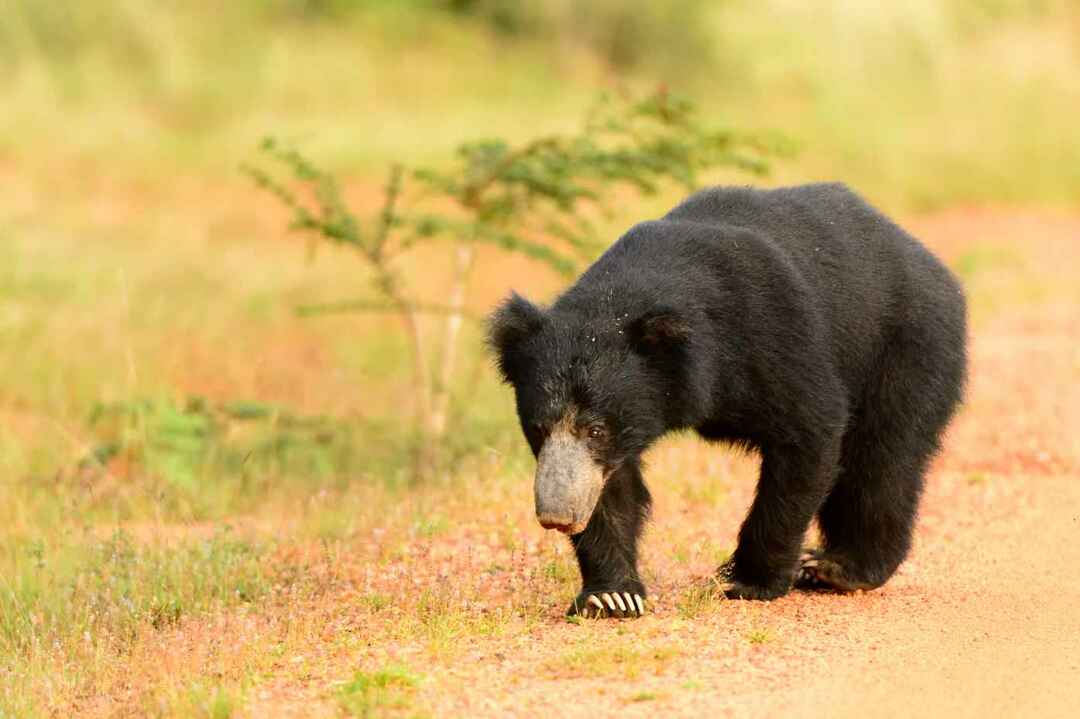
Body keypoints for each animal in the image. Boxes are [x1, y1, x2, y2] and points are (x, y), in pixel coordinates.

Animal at [486, 182, 967, 613]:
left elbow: (809, 431)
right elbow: (612, 488)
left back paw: (840, 567)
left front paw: (748, 581)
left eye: (596, 429)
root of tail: (926, 257)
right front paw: (611, 595)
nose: (557, 515)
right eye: (538, 429)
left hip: (906, 347)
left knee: (882, 459)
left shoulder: (772, 335)